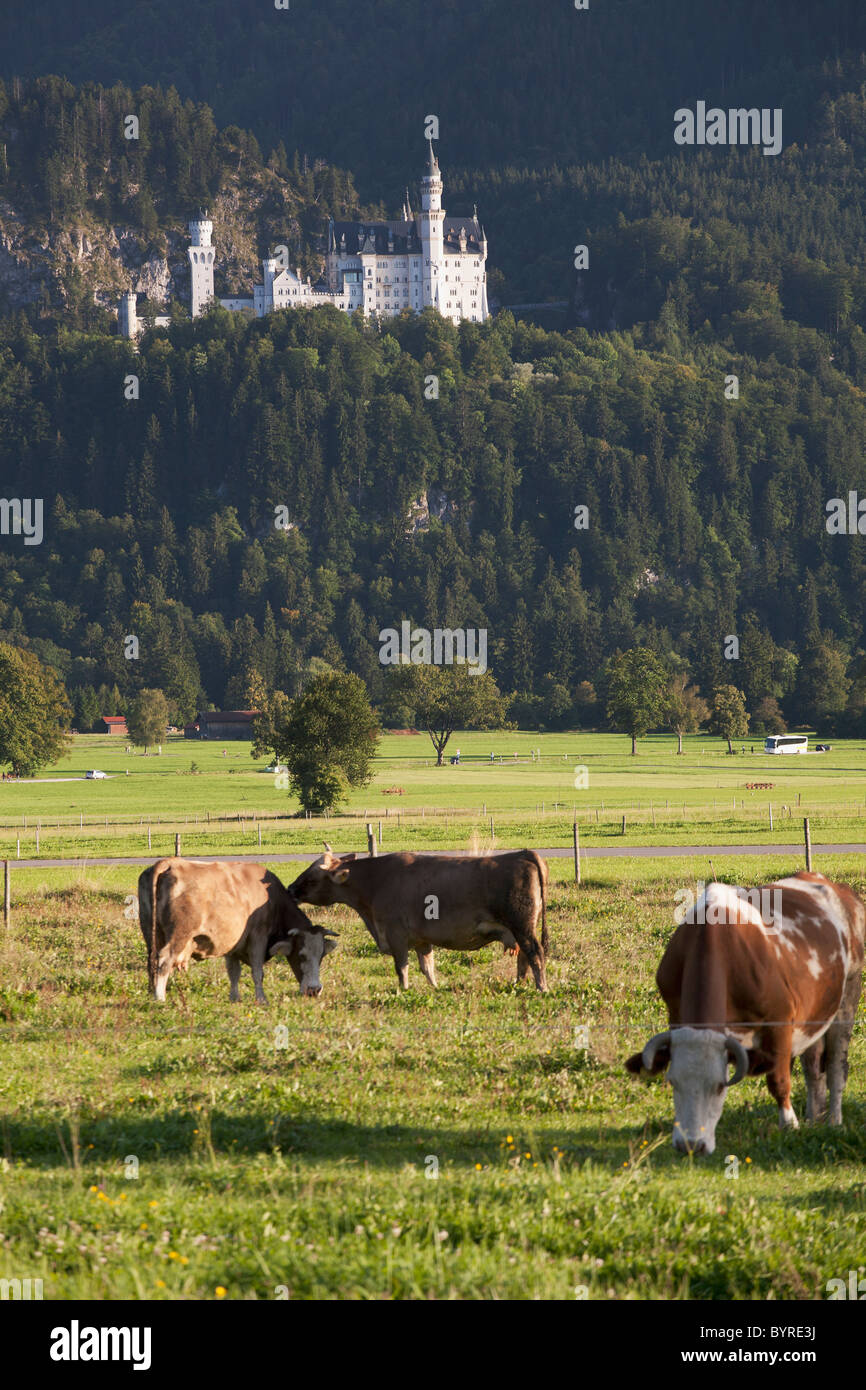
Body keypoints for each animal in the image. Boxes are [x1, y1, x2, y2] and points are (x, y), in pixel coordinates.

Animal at [137, 858, 338, 1002]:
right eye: (301, 955)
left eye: (321, 955)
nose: (314, 990)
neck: (272, 899)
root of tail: (168, 863)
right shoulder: (258, 937)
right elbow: (257, 972)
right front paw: (261, 999)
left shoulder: (232, 944)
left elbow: (234, 972)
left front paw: (234, 998)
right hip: (180, 935)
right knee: (164, 960)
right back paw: (160, 998)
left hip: (150, 935)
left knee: (151, 961)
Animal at [288, 846, 549, 991]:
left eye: (311, 878)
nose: (290, 889)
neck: (376, 881)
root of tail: (524, 854)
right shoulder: (423, 940)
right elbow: (428, 968)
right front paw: (436, 989)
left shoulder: (396, 936)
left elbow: (402, 967)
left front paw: (403, 990)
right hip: (521, 930)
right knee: (524, 958)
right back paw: (518, 984)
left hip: (523, 927)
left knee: (535, 954)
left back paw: (542, 988)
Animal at [626, 873, 865, 1154]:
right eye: (673, 1082)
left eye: (720, 1086)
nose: (691, 1145)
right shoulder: (676, 1017)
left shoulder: (780, 1022)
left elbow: (778, 1080)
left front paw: (790, 1125)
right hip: (815, 1014)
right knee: (814, 1068)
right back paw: (813, 1119)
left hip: (848, 995)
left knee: (837, 1066)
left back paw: (834, 1122)